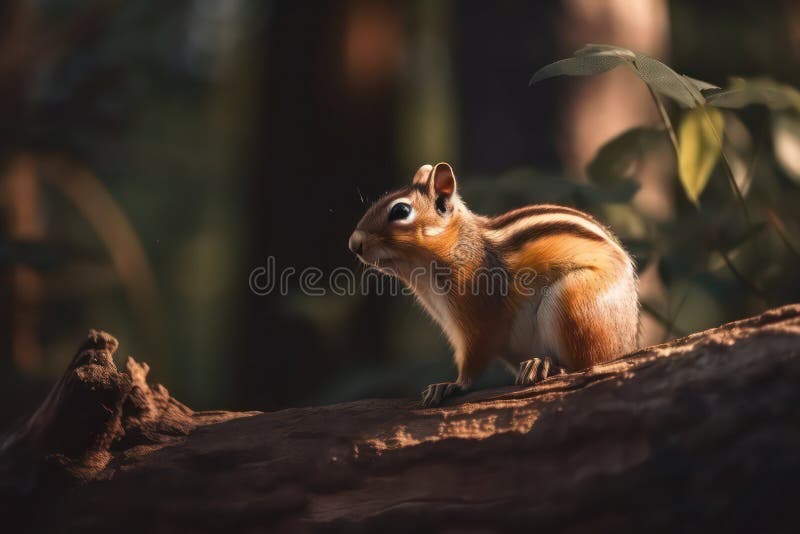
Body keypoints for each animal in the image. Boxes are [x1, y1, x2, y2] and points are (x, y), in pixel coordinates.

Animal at [349, 163, 639, 407]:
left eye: (401, 211)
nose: (353, 244)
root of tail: (628, 342)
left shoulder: (478, 316)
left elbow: (473, 357)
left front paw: (451, 385)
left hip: (573, 300)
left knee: (586, 364)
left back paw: (544, 366)